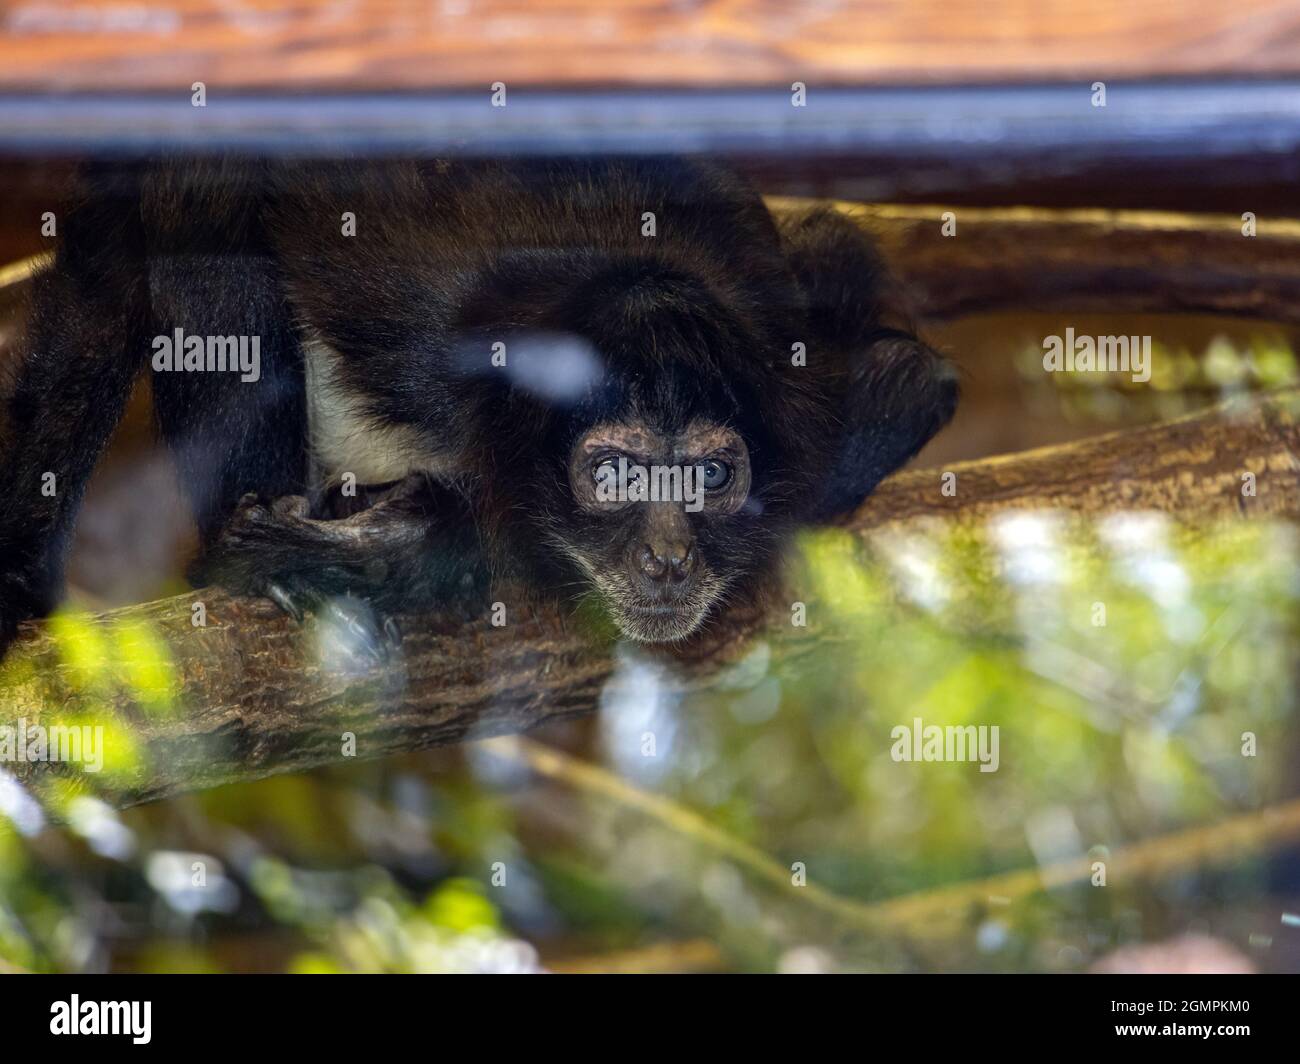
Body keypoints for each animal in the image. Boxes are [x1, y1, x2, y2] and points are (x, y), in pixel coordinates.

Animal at [0, 157, 957, 658]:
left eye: (712, 478)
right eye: (617, 475)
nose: (669, 560)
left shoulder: (797, 380)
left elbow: (914, 379)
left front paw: (410, 540)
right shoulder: (431, 334)